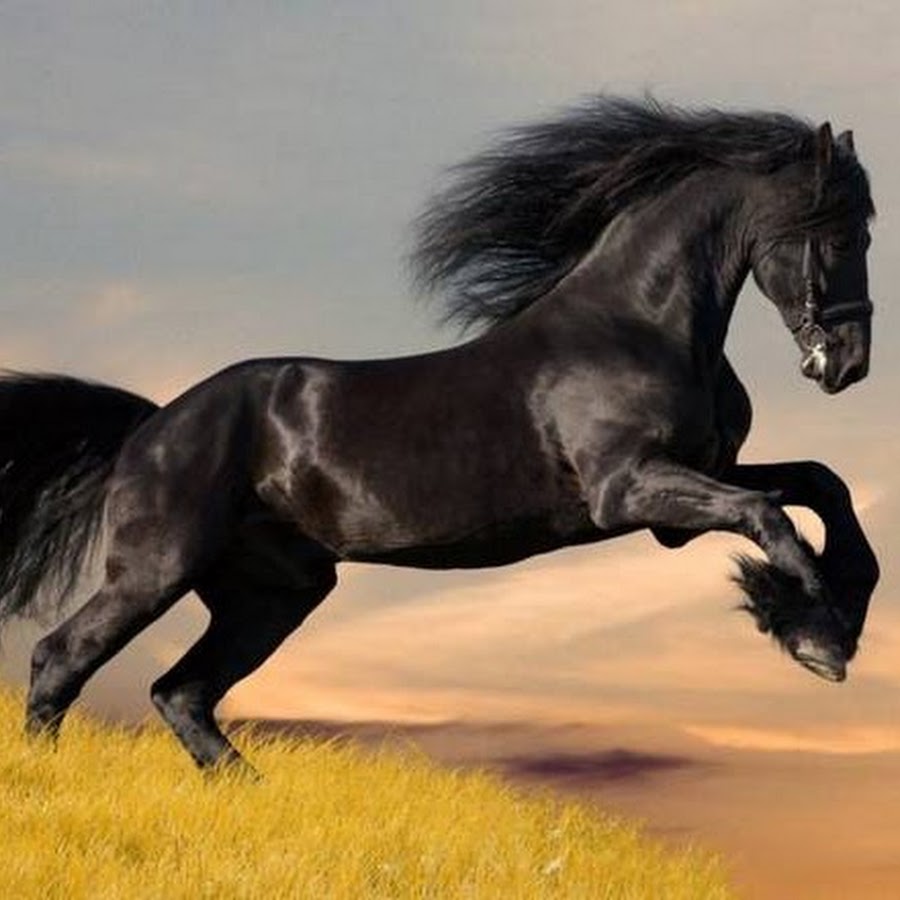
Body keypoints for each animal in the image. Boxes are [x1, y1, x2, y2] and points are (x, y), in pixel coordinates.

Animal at [0, 97, 879, 771]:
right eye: (841, 236)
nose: (848, 363)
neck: (637, 326)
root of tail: (152, 423)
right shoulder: (628, 489)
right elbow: (771, 515)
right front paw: (817, 635)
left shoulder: (687, 492)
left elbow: (821, 485)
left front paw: (826, 620)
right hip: (157, 568)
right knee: (61, 661)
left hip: (274, 592)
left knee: (180, 693)